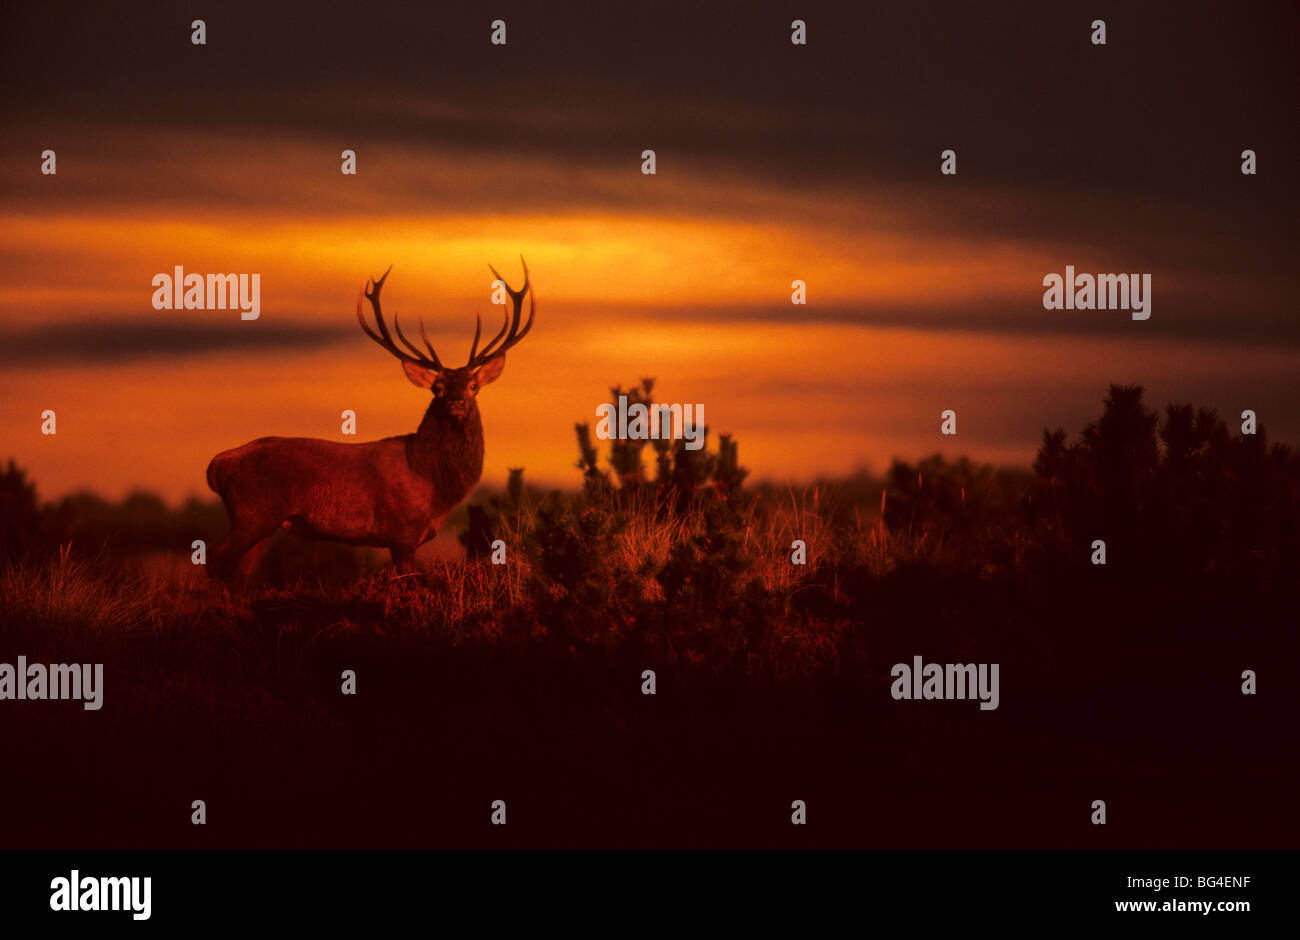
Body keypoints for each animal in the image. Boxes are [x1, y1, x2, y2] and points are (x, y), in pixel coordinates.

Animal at [205, 259, 535, 581]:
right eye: (437, 387)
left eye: (473, 385)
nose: (456, 402)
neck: (429, 478)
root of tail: (216, 466)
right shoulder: (401, 532)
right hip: (251, 514)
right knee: (215, 558)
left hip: (260, 524)